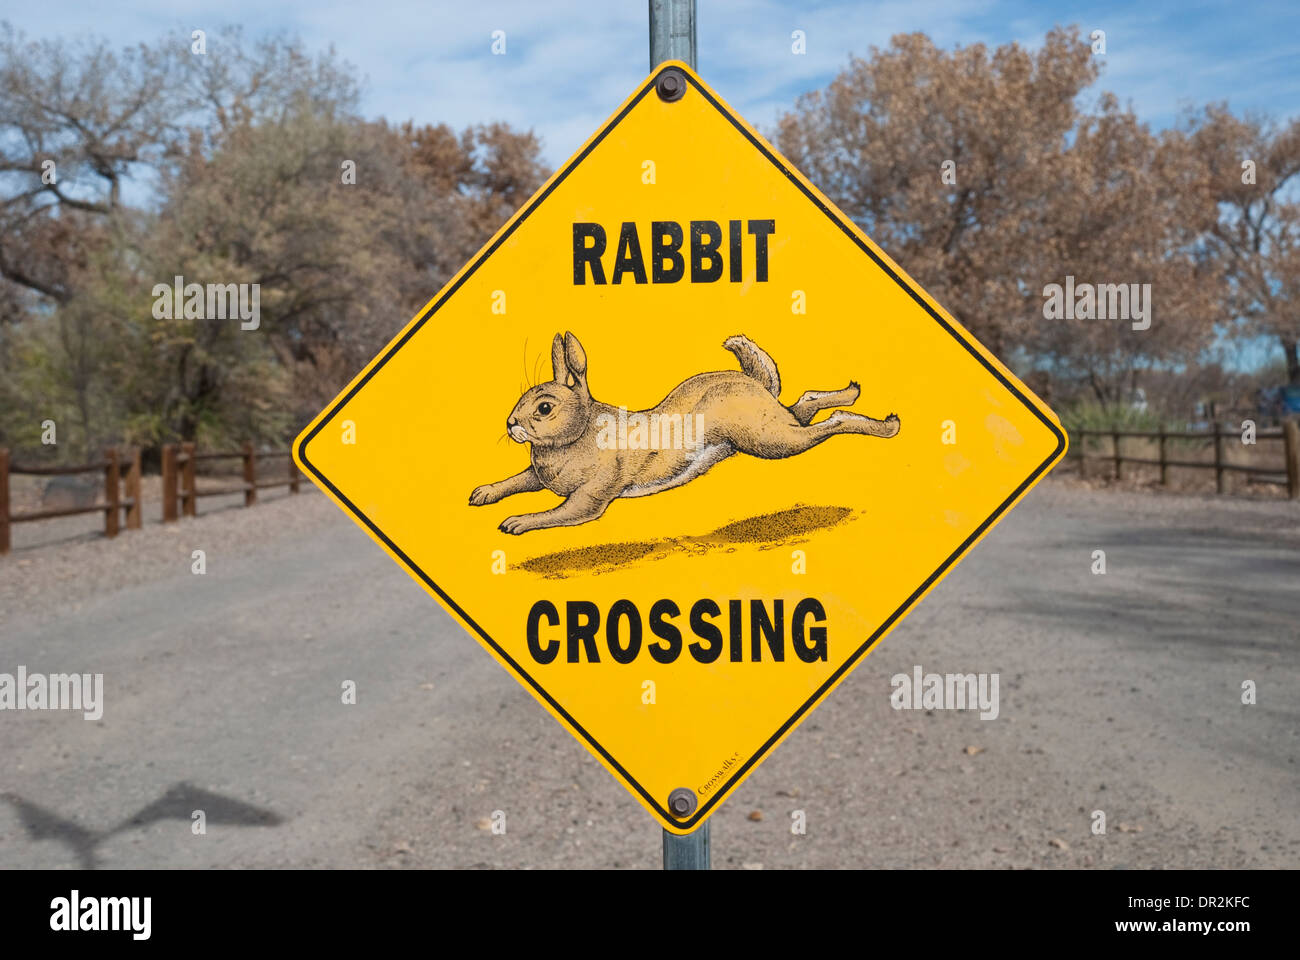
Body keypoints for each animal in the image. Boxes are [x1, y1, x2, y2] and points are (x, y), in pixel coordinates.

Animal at [469, 331, 900, 534]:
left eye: (544, 408)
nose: (510, 424)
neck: (578, 433)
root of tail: (750, 382)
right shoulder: (537, 475)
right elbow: (514, 480)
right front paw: (481, 495)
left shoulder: (589, 498)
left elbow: (557, 512)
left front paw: (515, 523)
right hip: (772, 425)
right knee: (806, 403)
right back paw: (854, 390)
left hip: (770, 440)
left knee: (832, 422)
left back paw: (888, 425)